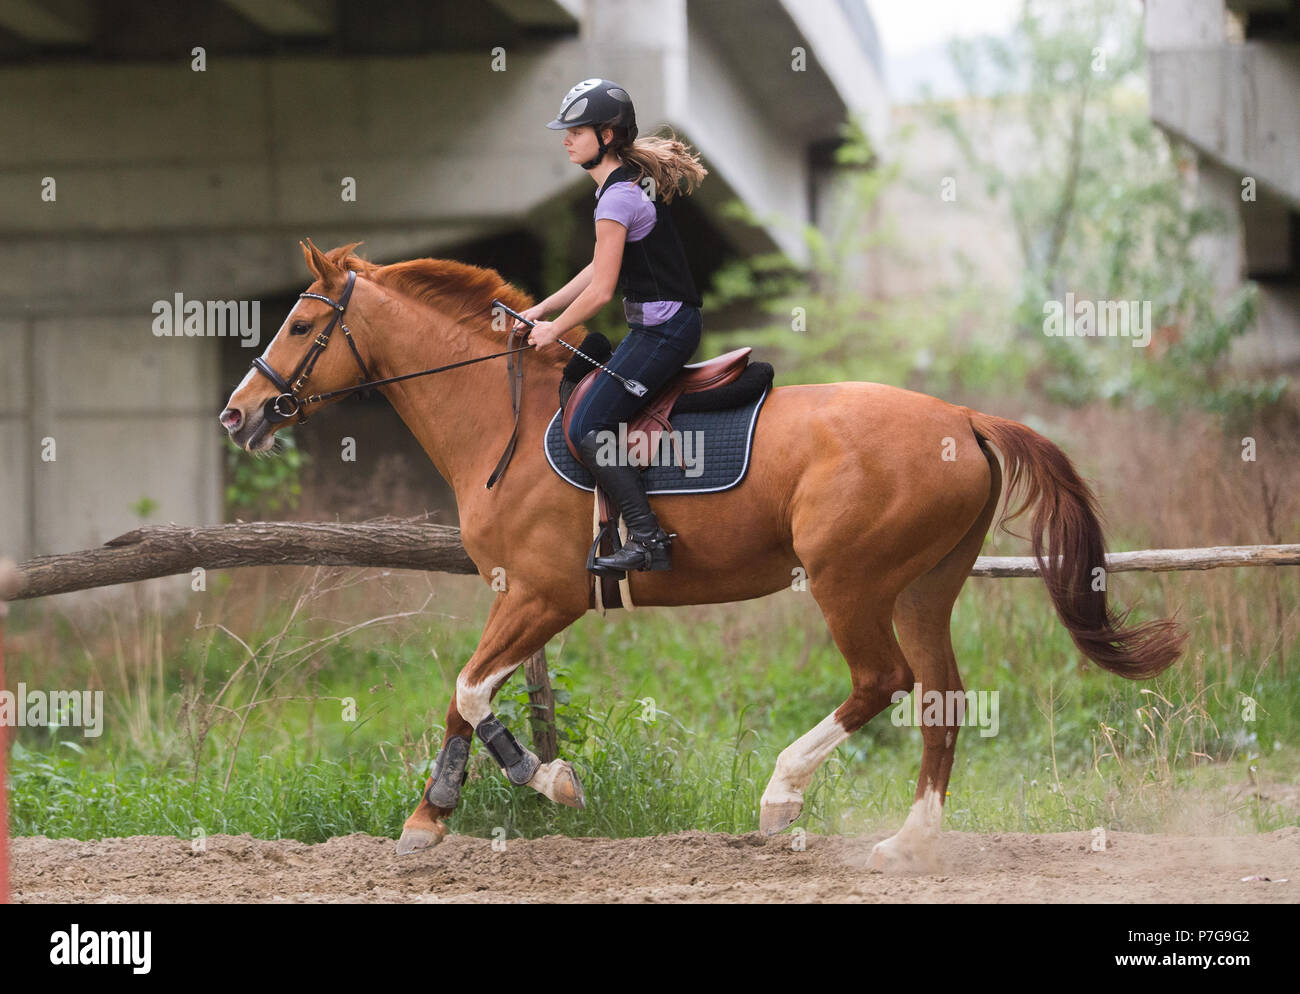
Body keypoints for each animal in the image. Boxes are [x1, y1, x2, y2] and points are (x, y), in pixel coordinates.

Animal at [219, 239, 1185, 871]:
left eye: (300, 324)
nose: (237, 415)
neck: (503, 421)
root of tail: (964, 418)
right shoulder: (512, 594)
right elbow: (464, 693)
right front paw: (430, 821)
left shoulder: (544, 593)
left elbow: (468, 687)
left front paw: (551, 782)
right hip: (924, 587)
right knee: (941, 698)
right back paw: (909, 842)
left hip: (848, 579)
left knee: (883, 682)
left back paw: (782, 796)